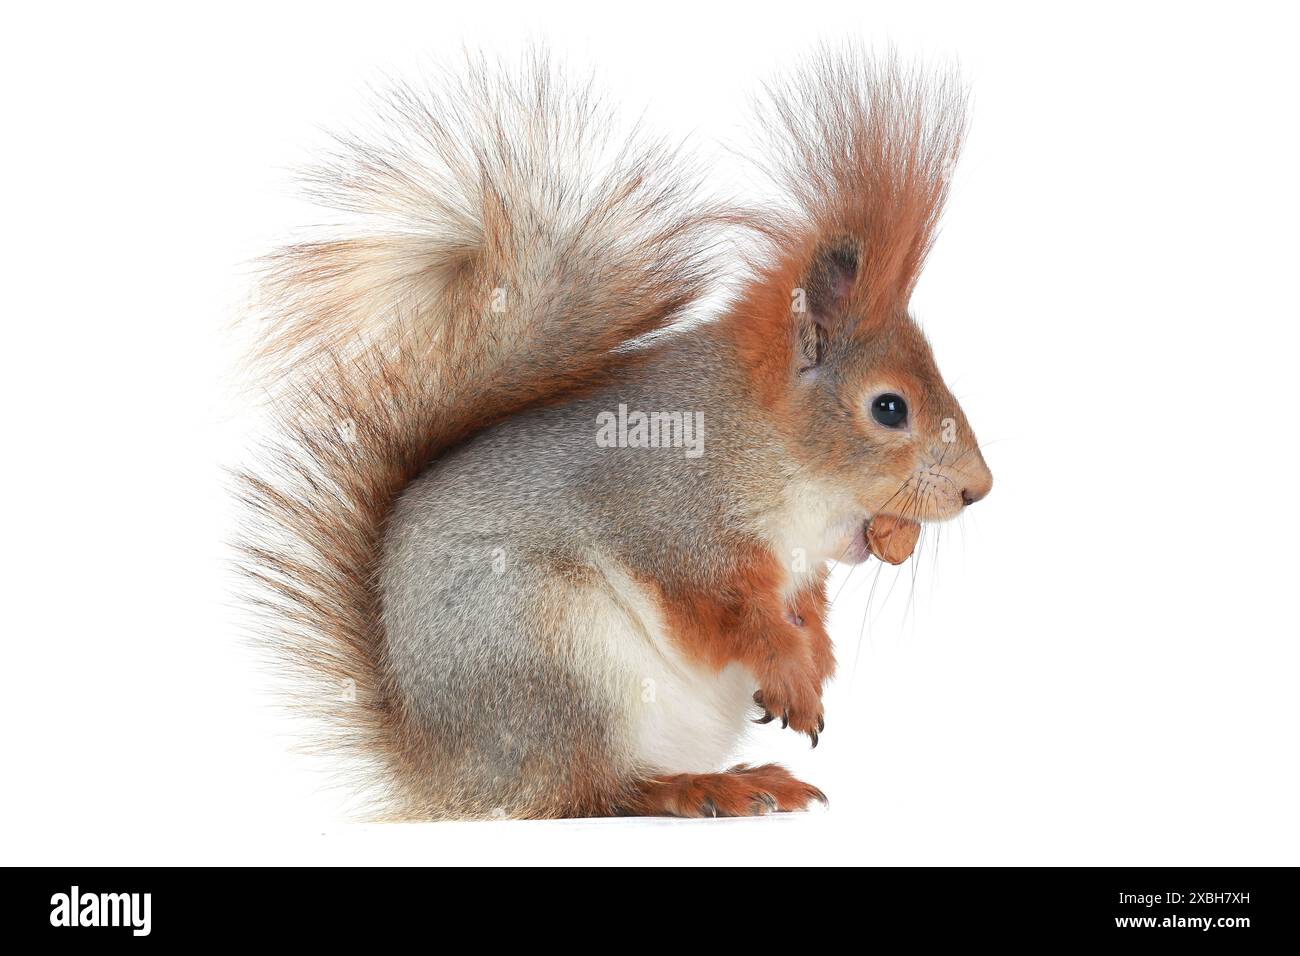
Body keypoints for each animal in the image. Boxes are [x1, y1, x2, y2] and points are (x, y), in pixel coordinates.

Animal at [237, 48, 993, 820]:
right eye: (890, 408)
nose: (978, 488)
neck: (767, 448)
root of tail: (445, 773)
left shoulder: (799, 565)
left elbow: (804, 608)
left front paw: (816, 666)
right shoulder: (669, 525)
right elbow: (728, 614)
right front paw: (788, 669)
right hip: (555, 659)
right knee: (593, 791)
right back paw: (703, 787)